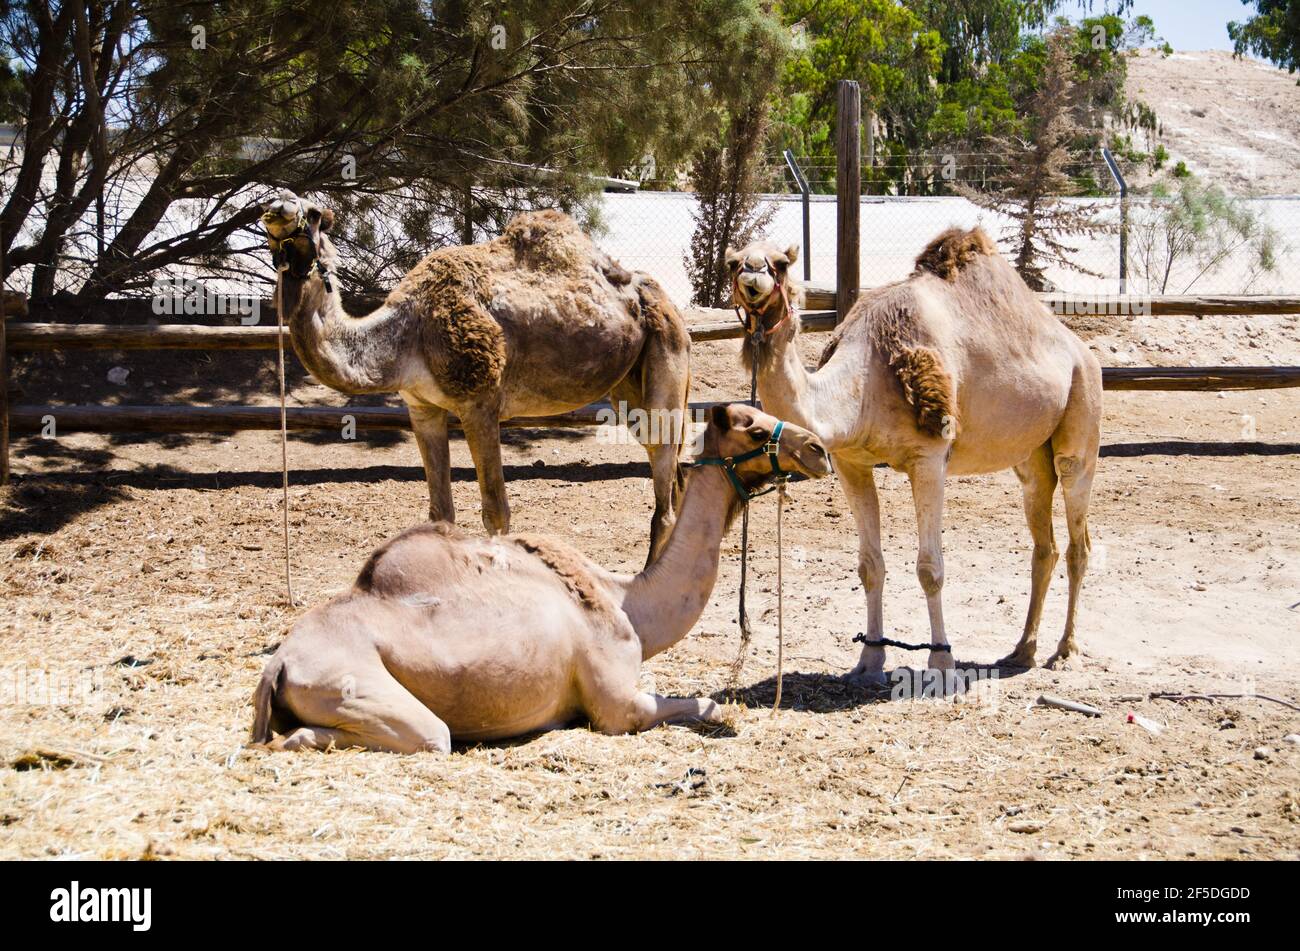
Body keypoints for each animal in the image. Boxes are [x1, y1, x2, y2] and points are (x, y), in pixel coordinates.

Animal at [249, 403, 831, 752]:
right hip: (361, 689)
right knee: (416, 734)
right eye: (753, 425)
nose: (818, 449)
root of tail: (279, 664)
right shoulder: (617, 703)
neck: (627, 604)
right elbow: (708, 704)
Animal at [260, 191, 690, 565]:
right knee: (674, 476)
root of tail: (662, 300)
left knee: (666, 492)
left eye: (315, 213)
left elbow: (495, 512)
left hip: (666, 366)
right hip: (628, 388)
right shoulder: (422, 408)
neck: (406, 334)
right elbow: (440, 511)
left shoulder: (479, 402)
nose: (275, 209)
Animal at [726, 228, 1102, 680]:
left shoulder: (929, 458)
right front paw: (869, 658)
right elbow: (869, 566)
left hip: (1082, 416)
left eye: (781, 264)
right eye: (733, 263)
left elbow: (930, 568)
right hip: (1030, 456)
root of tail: (1081, 349)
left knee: (1078, 537)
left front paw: (941, 660)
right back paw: (1022, 650)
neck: (864, 382)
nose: (753, 275)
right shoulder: (851, 463)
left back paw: (1065, 650)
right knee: (1044, 542)